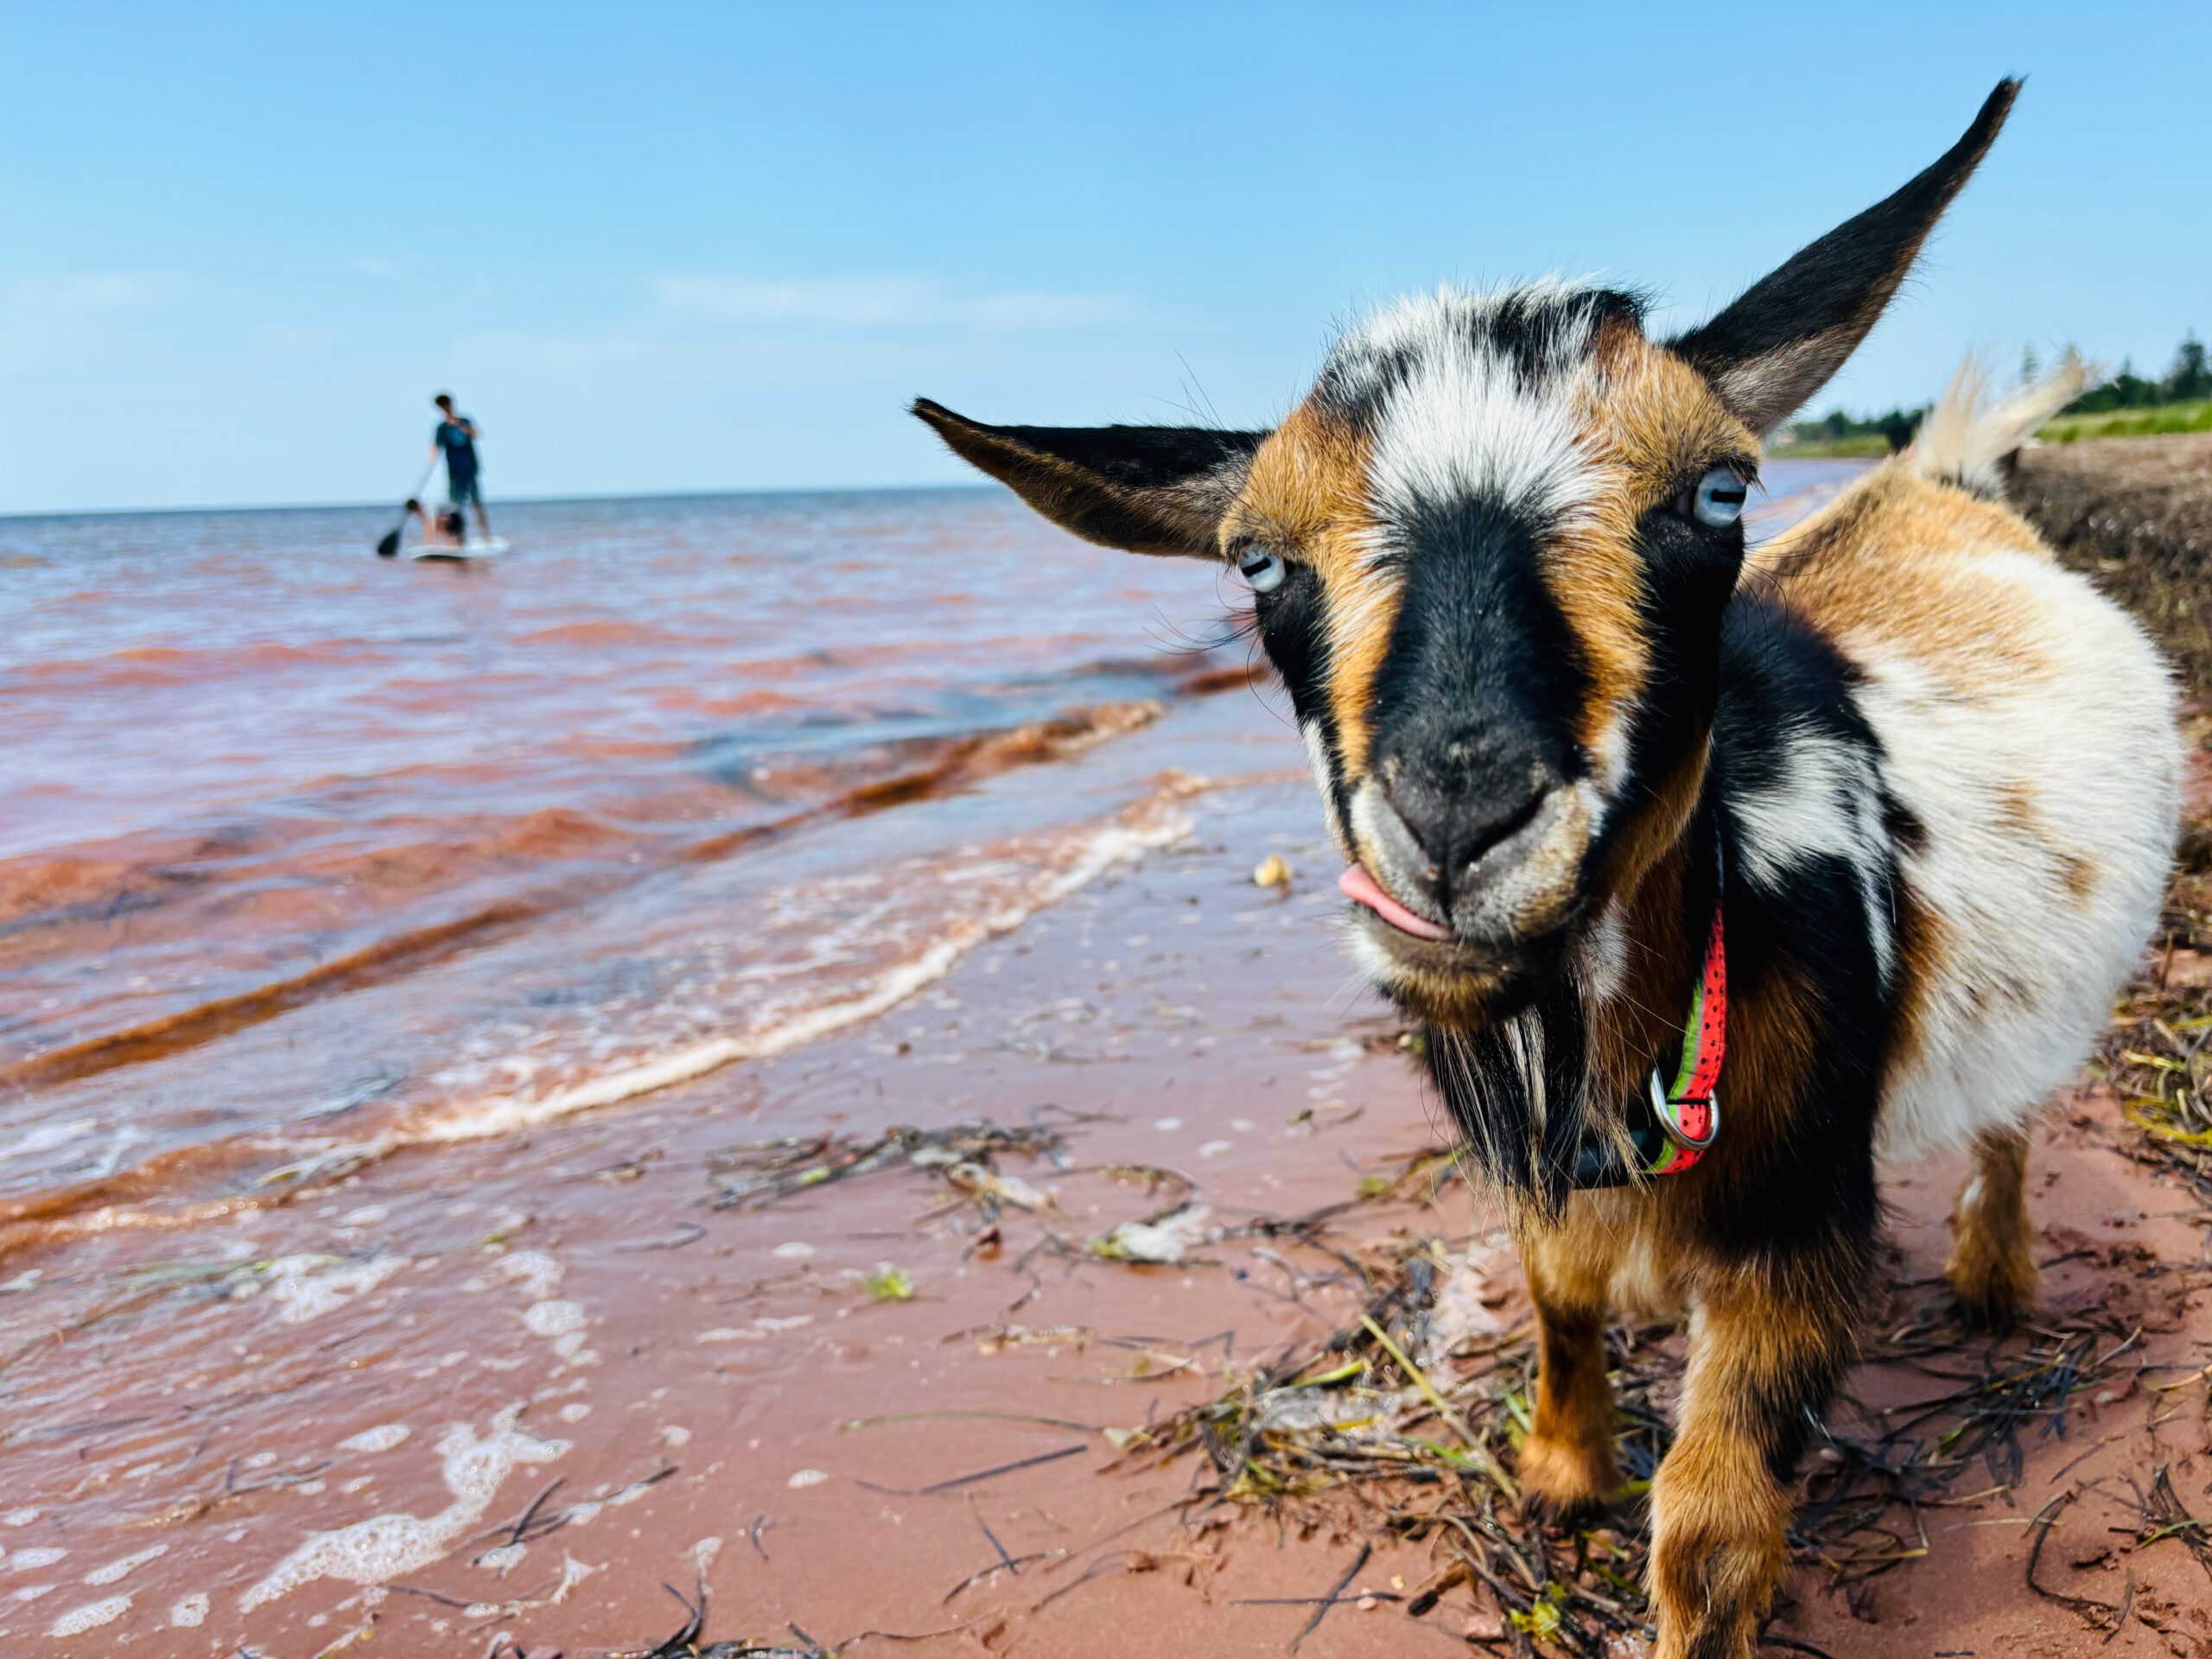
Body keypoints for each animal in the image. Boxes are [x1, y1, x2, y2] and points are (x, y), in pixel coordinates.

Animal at [914, 79, 2179, 1658]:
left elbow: (1712, 1526)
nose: (1458, 819)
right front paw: (1561, 1470)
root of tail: (1943, 479)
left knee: (2014, 1114)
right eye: (1258, 561)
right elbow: (1559, 1291)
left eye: (1721, 491)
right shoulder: (1546, 1170)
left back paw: (1996, 1281)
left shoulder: (1803, 1216)